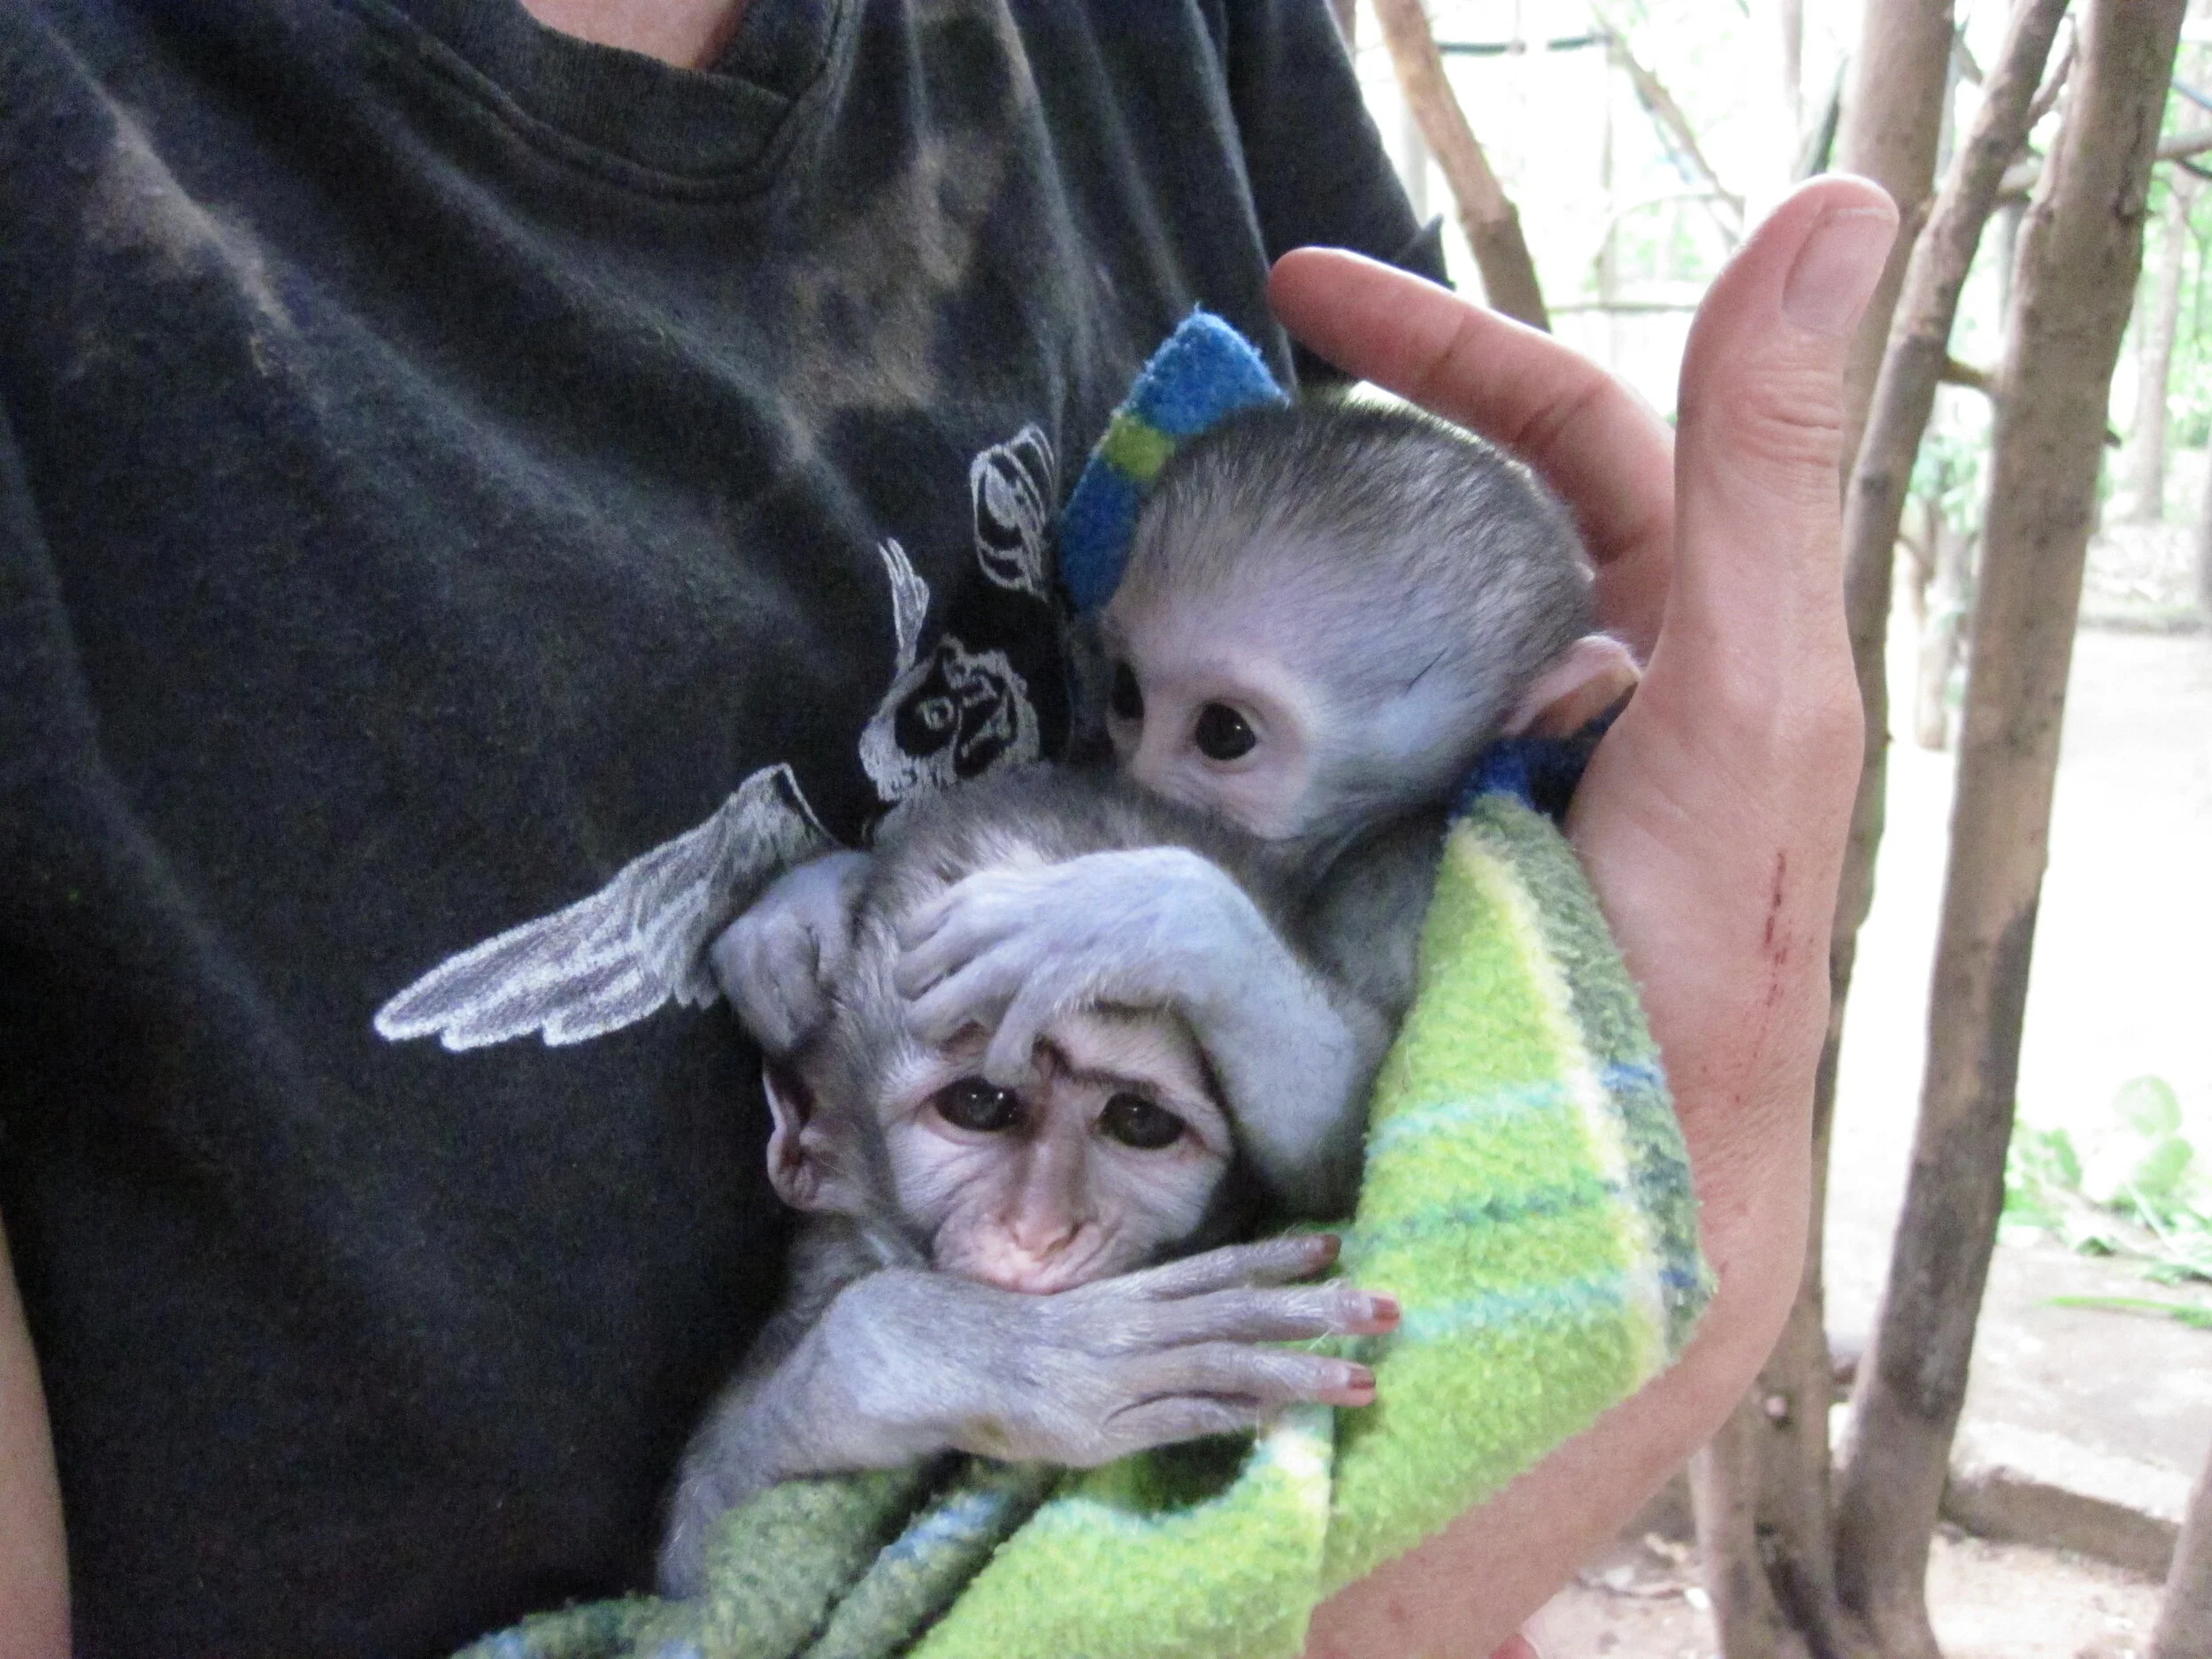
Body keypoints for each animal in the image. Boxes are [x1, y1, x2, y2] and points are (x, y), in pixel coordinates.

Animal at [658, 766, 1403, 1597]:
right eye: (981, 1103)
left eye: (1139, 1119)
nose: (1037, 1229)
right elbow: (705, 1562)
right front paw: (1032, 1356)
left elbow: (1345, 1139)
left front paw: (1146, 916)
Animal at [715, 400, 1637, 1216]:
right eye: (1128, 695)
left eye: (1224, 732)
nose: (1135, 789)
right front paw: (804, 908)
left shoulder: (1411, 876)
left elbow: (1347, 1142)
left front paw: (1128, 913)